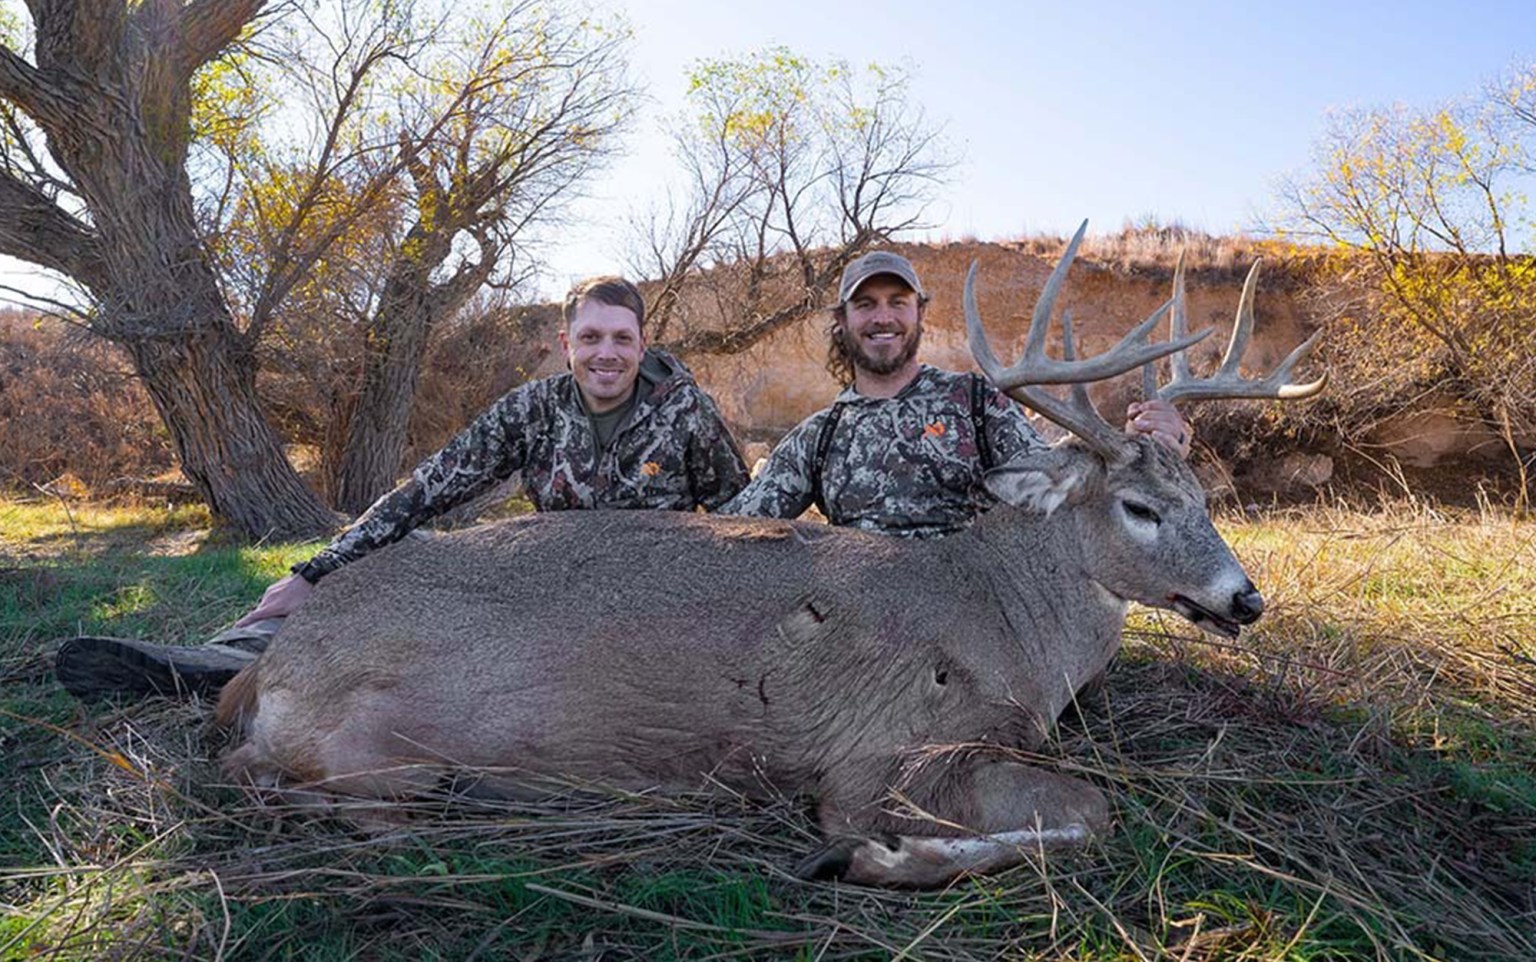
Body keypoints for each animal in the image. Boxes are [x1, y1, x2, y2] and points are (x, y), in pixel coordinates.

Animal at [216, 225, 1324, 888]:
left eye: (1206, 499)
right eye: (1139, 506)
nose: (1246, 597)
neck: (1003, 617)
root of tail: (268, 666)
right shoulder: (883, 749)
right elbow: (1089, 813)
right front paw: (876, 855)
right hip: (364, 735)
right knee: (266, 778)